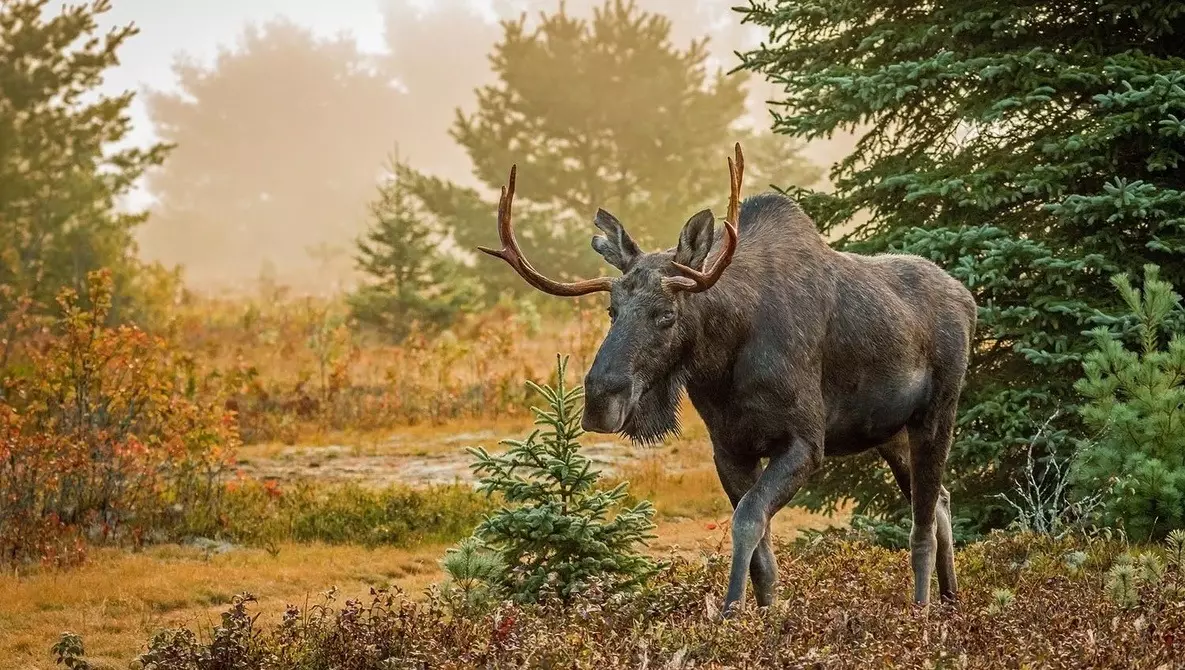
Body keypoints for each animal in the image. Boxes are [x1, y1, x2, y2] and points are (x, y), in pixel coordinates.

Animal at [476, 143, 976, 611]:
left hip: (937, 414)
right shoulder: (729, 447)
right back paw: (951, 599)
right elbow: (763, 553)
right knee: (943, 500)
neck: (725, 359)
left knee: (922, 521)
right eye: (612, 310)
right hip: (890, 434)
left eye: (666, 314)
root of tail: (969, 300)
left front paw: (731, 611)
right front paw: (764, 617)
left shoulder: (805, 442)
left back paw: (922, 610)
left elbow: (748, 521)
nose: (601, 398)